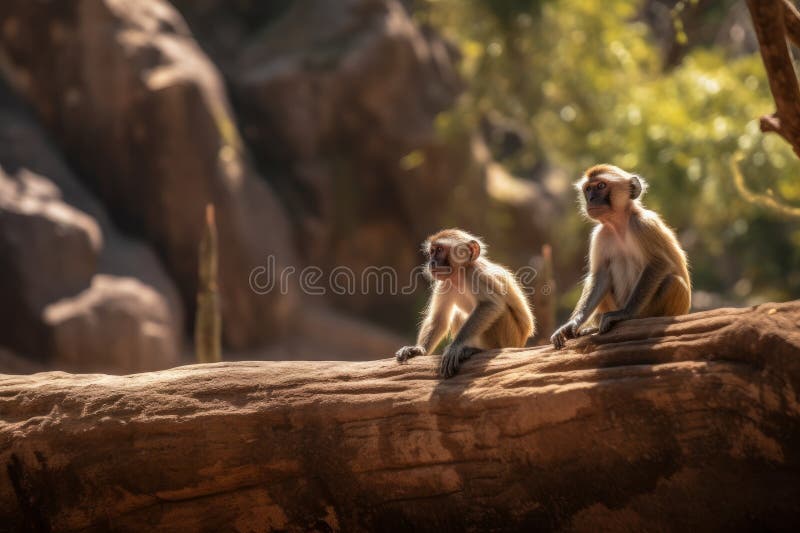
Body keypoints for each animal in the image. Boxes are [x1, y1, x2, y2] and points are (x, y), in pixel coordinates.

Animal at [396, 228, 535, 378]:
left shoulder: (475, 274)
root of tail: (521, 343)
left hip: (511, 338)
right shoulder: (444, 283)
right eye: (432, 251)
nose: (431, 262)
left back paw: (479, 350)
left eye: (439, 250)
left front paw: (455, 346)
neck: (459, 277)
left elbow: (490, 305)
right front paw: (418, 349)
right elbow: (439, 318)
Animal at [551, 164, 691, 349]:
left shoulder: (643, 225)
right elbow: (601, 276)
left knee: (673, 282)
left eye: (601, 186)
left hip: (649, 310)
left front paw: (624, 313)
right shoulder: (600, 235)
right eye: (588, 189)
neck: (619, 225)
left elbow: (659, 263)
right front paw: (572, 324)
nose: (591, 199)